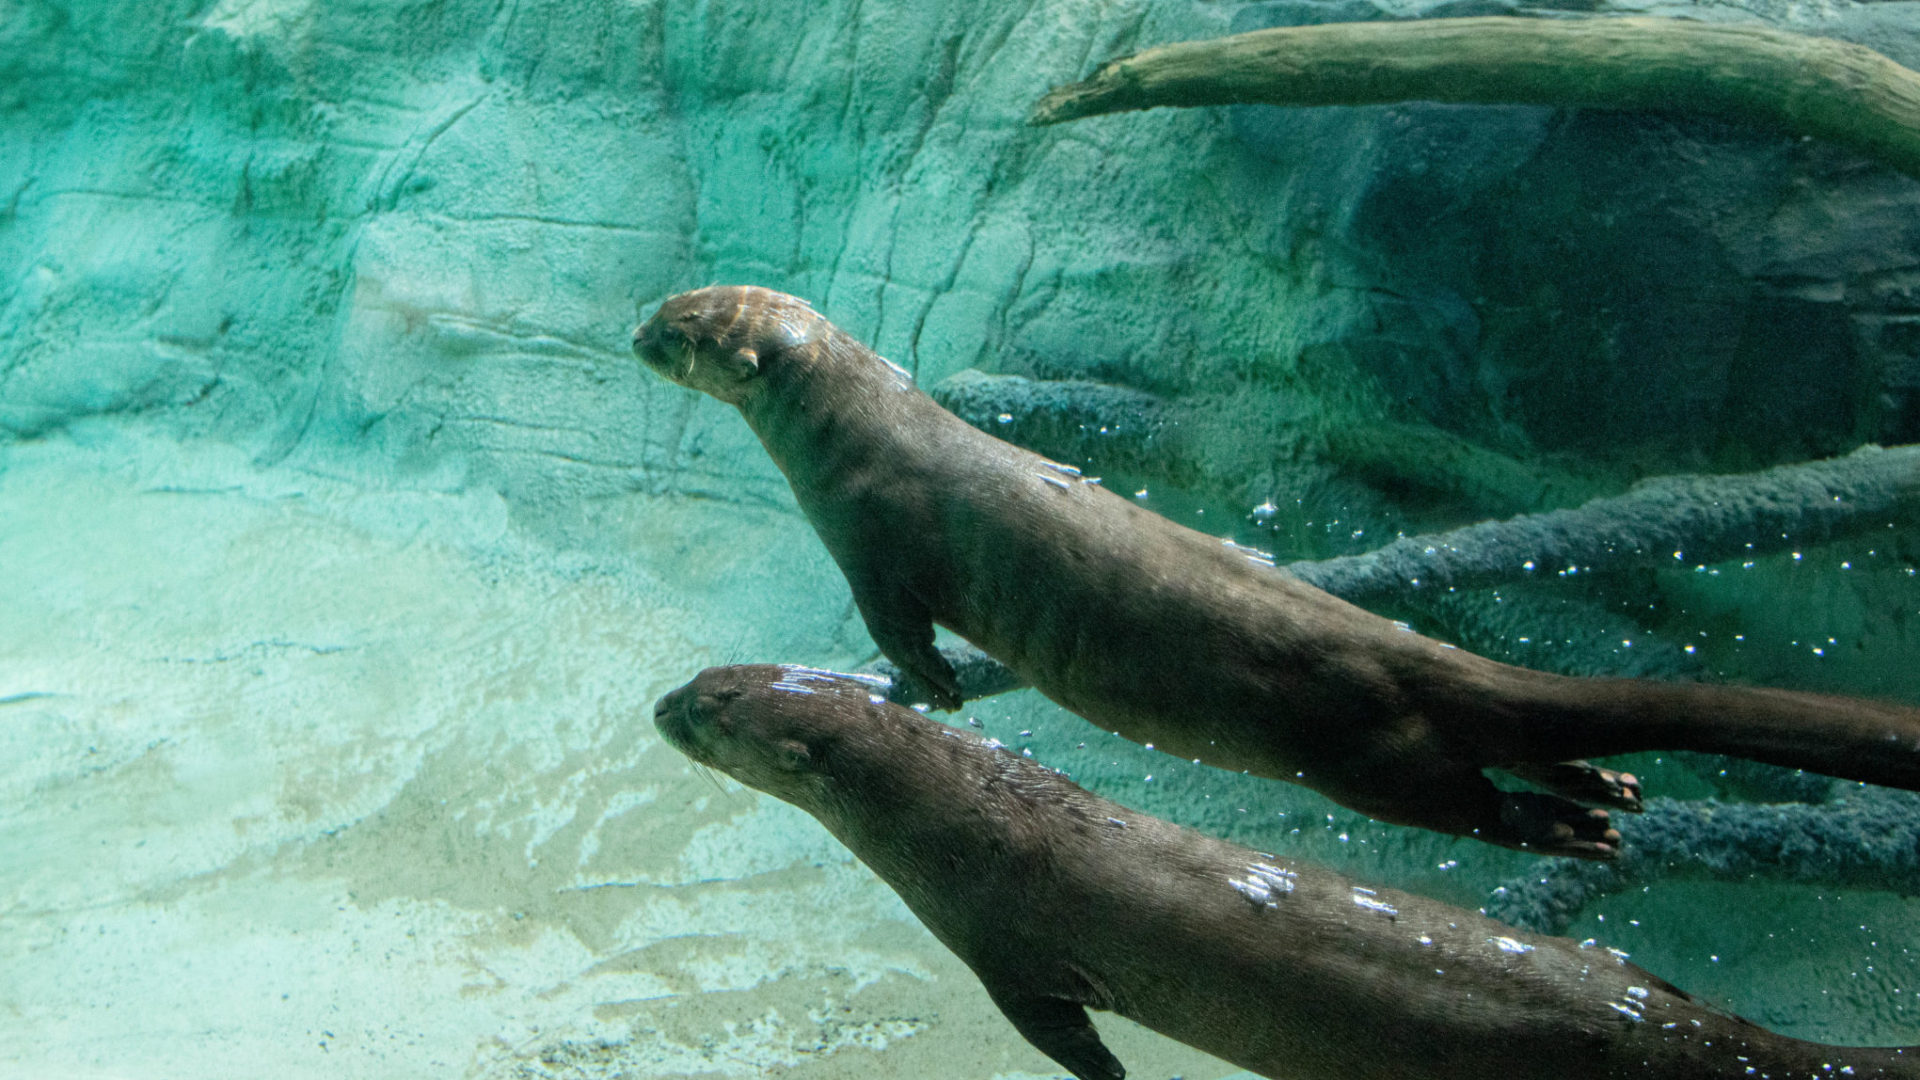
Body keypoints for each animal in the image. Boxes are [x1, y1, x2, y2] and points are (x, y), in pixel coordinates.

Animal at [633, 284, 1920, 858]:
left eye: (686, 327)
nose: (637, 329)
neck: (866, 426)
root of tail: (1407, 650)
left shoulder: (870, 532)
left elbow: (899, 625)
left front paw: (940, 688)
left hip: (1367, 757)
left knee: (1471, 800)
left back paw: (1572, 829)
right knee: (1532, 749)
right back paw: (1608, 788)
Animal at [654, 664, 1919, 1080]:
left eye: (715, 709)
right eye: (719, 674)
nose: (663, 705)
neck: (966, 811)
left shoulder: (999, 939)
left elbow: (1066, 1038)